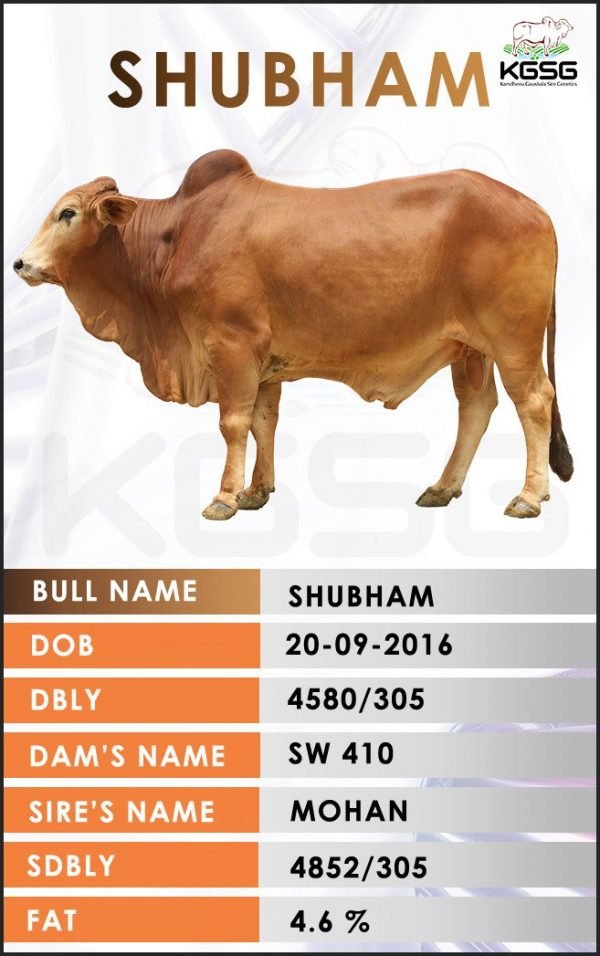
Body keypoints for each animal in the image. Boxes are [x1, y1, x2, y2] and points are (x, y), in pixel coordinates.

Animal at [14, 150, 573, 521]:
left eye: (67, 213)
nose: (20, 263)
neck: (173, 239)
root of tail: (538, 209)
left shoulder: (232, 346)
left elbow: (233, 424)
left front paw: (223, 498)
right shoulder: (265, 363)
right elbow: (264, 423)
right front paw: (255, 492)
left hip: (514, 341)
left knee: (534, 403)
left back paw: (528, 497)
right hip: (471, 349)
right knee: (477, 407)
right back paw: (442, 487)